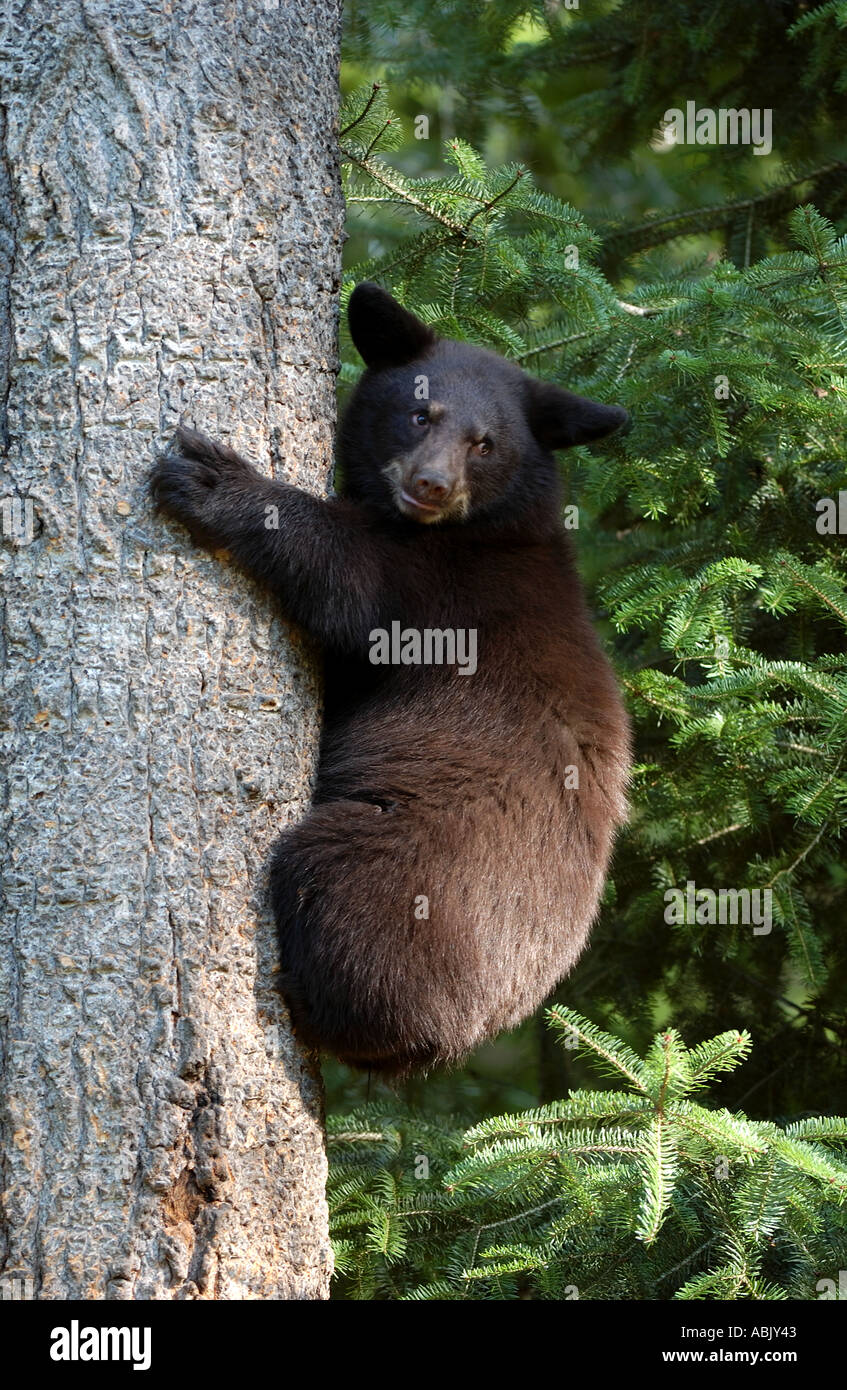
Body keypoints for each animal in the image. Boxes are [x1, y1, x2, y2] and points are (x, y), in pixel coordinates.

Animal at [151, 282, 632, 1076]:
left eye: (485, 442)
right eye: (418, 412)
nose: (430, 485)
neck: (481, 530)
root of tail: (458, 1033)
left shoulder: (441, 593)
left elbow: (344, 572)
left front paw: (218, 480)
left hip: (390, 874)